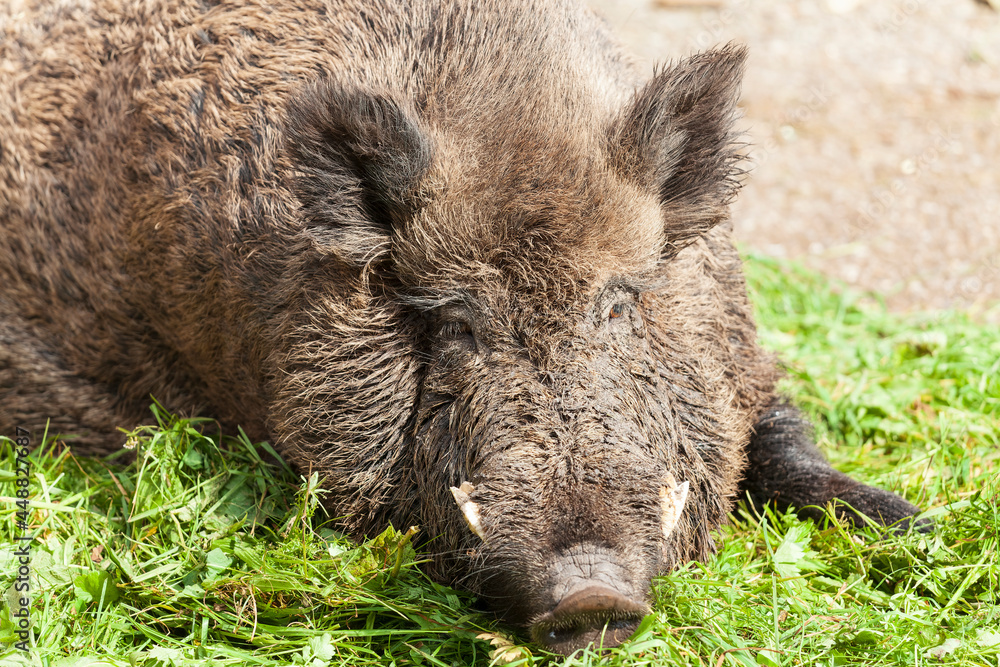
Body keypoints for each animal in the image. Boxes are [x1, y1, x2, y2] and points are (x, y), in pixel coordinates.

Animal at [0, 0, 922, 654]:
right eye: (454, 322)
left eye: (620, 302)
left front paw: (917, 524)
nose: (590, 592)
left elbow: (783, 438)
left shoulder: (743, 366)